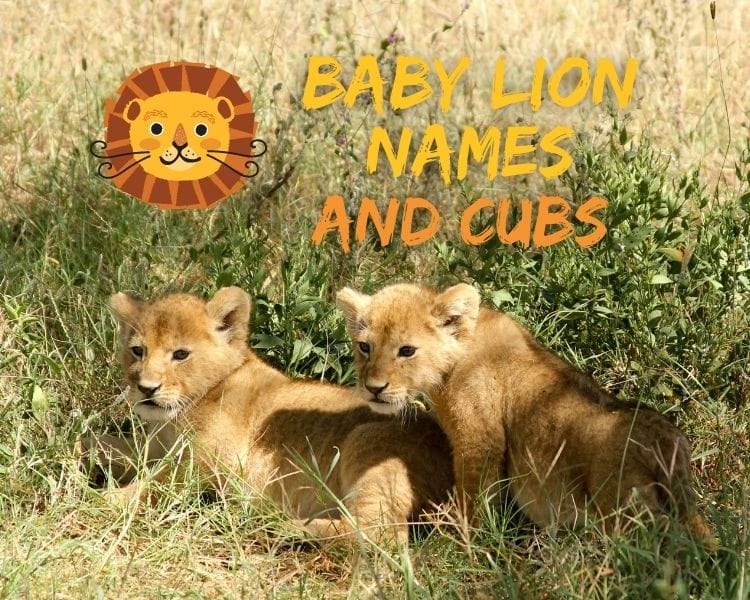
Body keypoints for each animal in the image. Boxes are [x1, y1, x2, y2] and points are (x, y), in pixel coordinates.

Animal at [87, 286, 453, 544]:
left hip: (369, 444)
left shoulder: (215, 466)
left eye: (180, 355)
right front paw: (79, 456)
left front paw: (100, 499)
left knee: (379, 534)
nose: (146, 388)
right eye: (138, 350)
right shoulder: (156, 449)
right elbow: (100, 442)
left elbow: (155, 486)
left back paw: (274, 524)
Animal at [336, 283, 712, 539]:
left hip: (624, 507)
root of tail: (667, 440)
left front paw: (465, 537)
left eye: (407, 350)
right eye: (364, 347)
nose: (373, 387)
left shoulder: (480, 440)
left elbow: (475, 494)